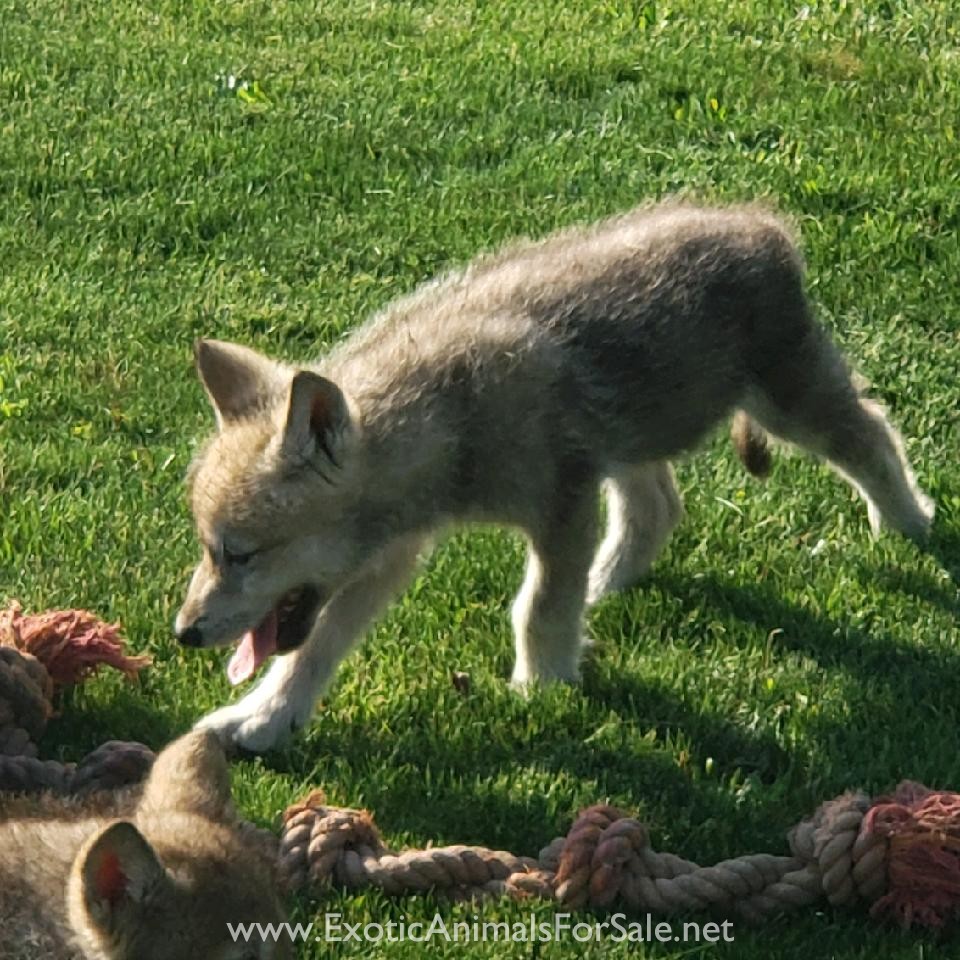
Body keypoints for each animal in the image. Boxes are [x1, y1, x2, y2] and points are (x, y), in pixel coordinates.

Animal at [175, 202, 934, 753]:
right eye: (209, 549)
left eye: (239, 553)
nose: (183, 633)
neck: (444, 417)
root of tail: (769, 228)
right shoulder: (388, 555)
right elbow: (312, 648)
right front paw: (262, 720)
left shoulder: (560, 502)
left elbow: (537, 606)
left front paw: (540, 690)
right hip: (629, 433)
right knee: (657, 507)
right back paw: (605, 586)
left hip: (786, 397)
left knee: (871, 432)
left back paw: (908, 523)